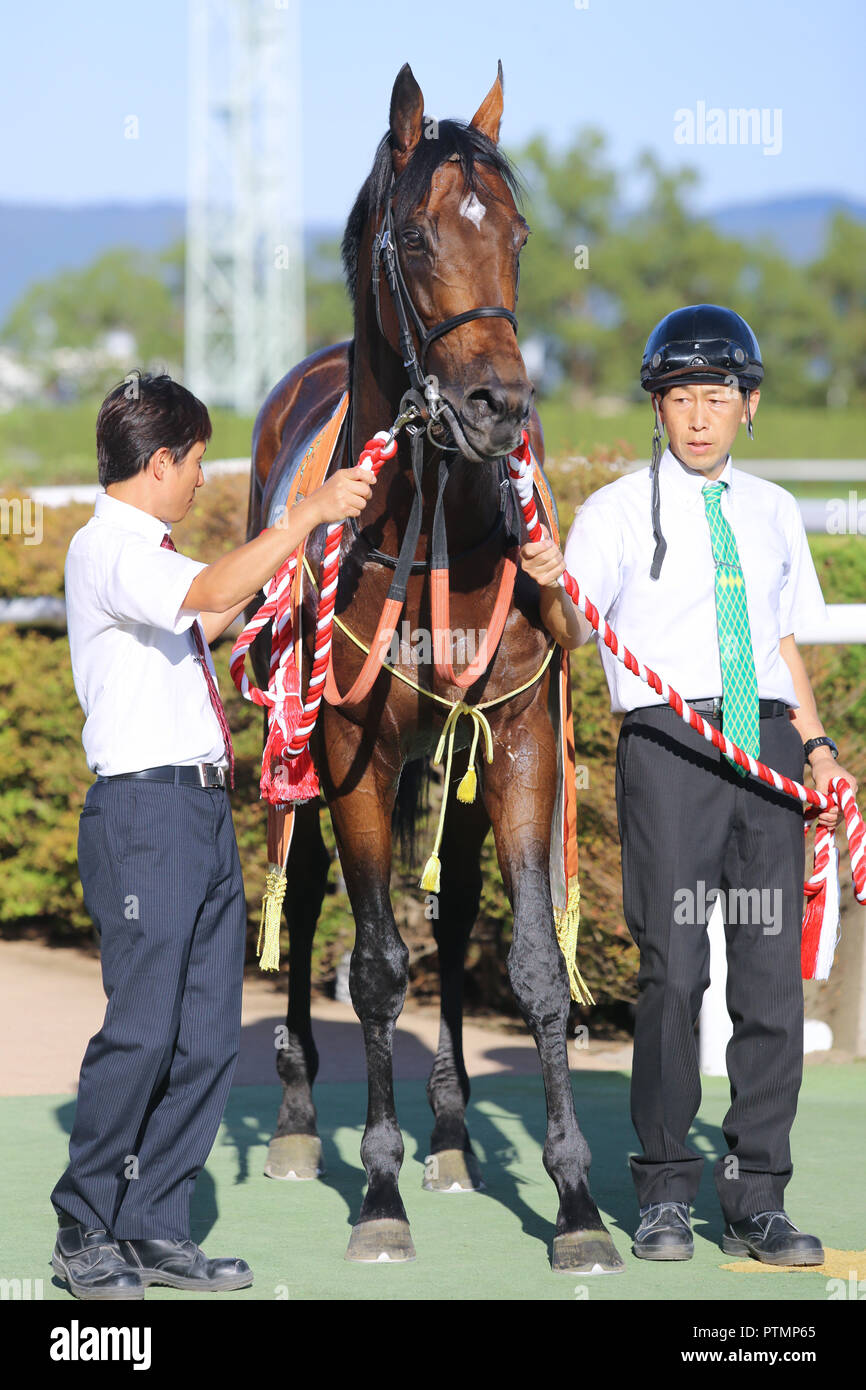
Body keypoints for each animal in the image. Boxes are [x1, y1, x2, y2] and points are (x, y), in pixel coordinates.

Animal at [243, 61, 622, 1274]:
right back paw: (299, 1123)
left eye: (517, 232)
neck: (433, 524)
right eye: (413, 235)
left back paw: (452, 1136)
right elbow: (371, 966)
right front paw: (376, 1192)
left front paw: (575, 1204)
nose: (499, 407)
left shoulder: (518, 730)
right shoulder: (349, 747)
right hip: (297, 749)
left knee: (452, 921)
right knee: (309, 895)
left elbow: (530, 963)